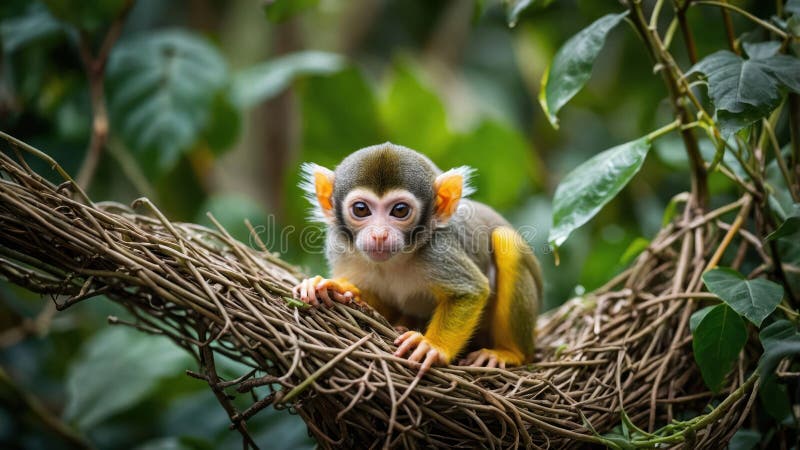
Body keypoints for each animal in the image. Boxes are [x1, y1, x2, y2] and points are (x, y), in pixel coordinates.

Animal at [292, 143, 542, 374]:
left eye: (400, 210)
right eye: (361, 209)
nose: (379, 235)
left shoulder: (437, 252)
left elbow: (471, 292)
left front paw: (433, 346)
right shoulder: (339, 249)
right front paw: (339, 288)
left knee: (506, 242)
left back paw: (510, 353)